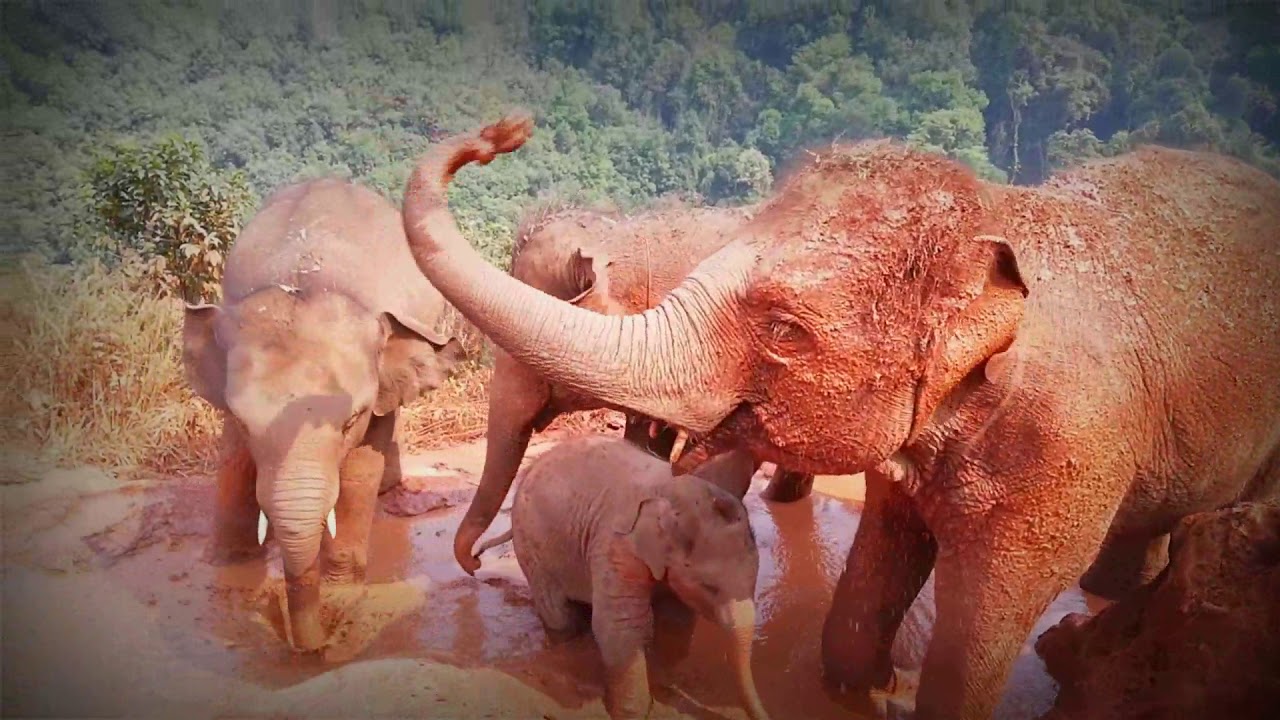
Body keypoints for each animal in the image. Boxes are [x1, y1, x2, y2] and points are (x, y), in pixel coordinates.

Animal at [183, 177, 464, 651]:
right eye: (243, 421)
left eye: (351, 421)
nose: (309, 648)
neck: (305, 280)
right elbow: (233, 460)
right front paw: (233, 571)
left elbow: (359, 470)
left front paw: (342, 592)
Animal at [474, 435, 771, 720]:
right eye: (709, 587)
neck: (671, 495)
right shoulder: (615, 547)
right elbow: (622, 625)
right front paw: (633, 712)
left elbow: (676, 618)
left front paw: (664, 686)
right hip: (532, 547)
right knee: (558, 613)